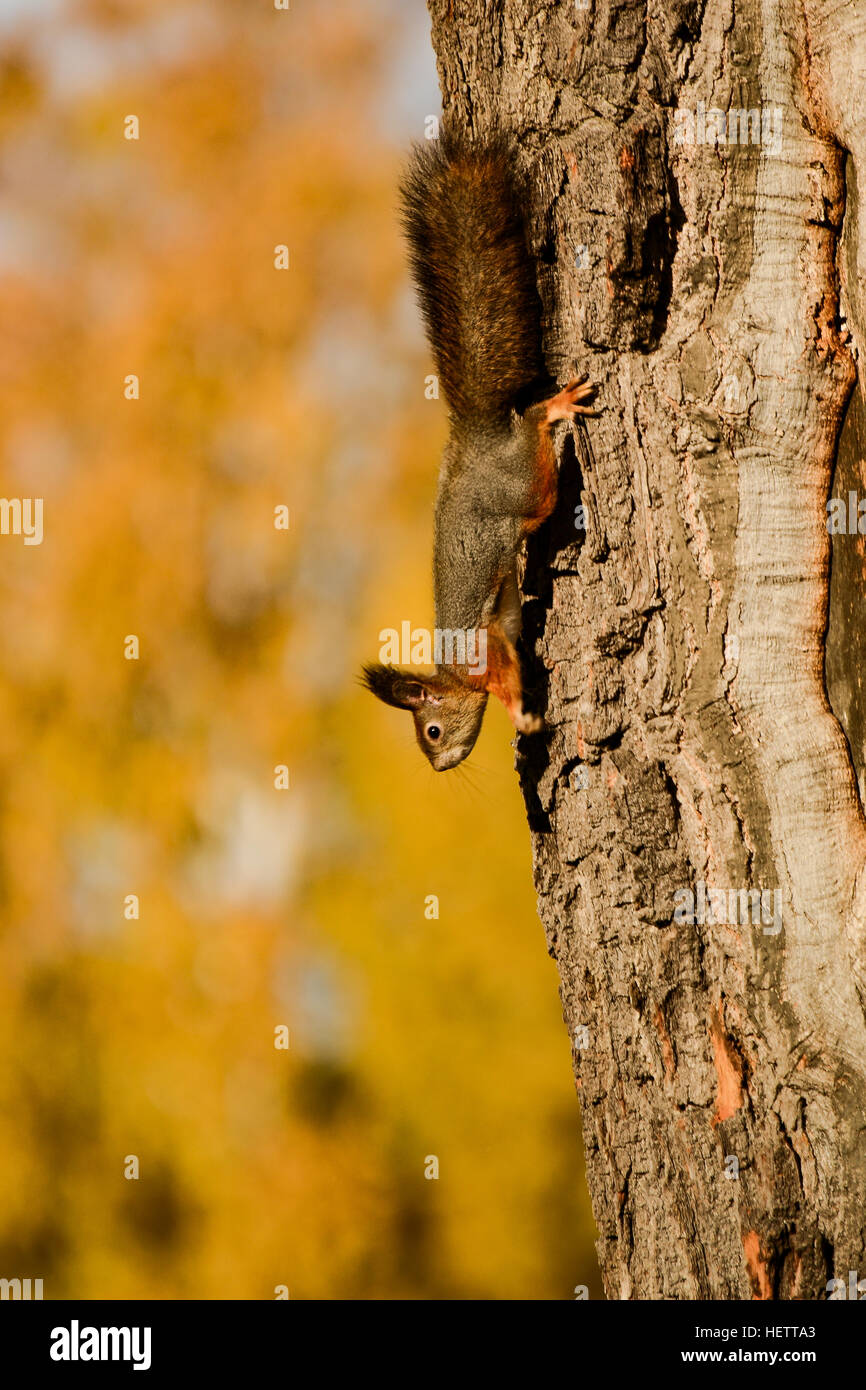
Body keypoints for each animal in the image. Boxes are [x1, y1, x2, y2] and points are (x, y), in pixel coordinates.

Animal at [361, 128, 597, 771]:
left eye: (433, 731)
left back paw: (554, 409)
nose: (442, 766)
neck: (452, 678)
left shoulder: (482, 652)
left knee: (536, 442)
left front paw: (522, 715)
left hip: (523, 490)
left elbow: (508, 672)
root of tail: (478, 437)